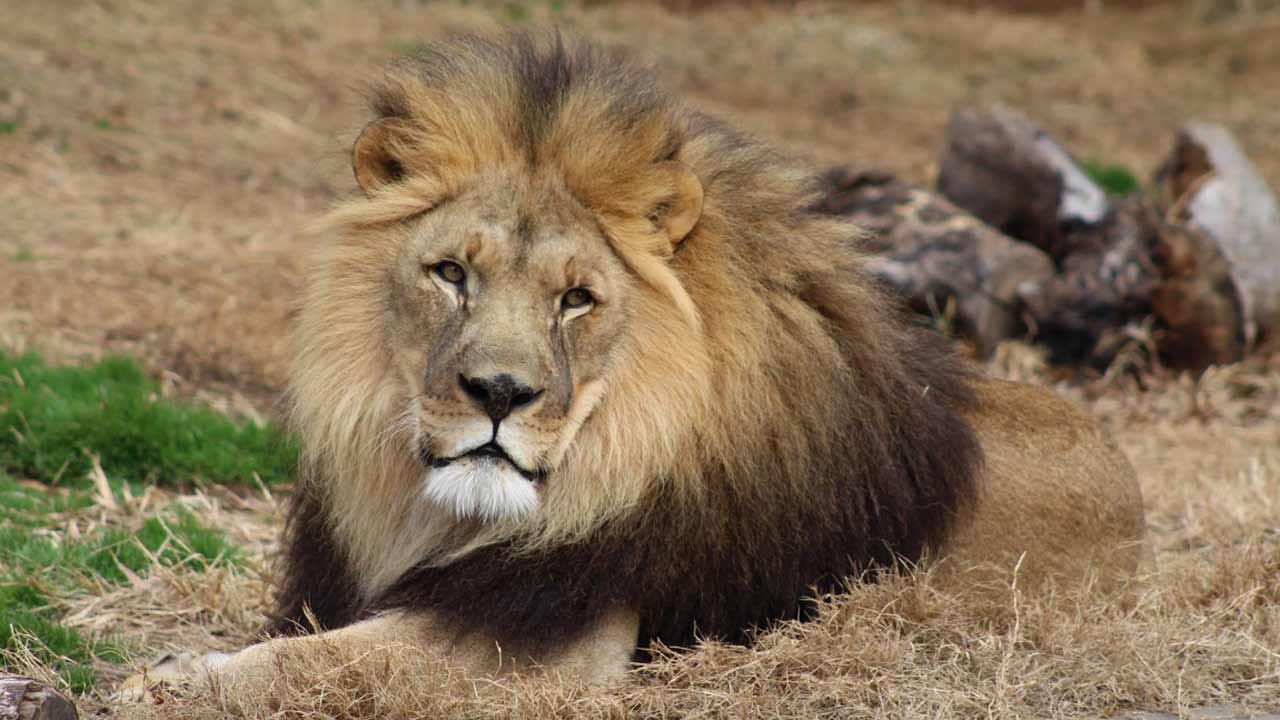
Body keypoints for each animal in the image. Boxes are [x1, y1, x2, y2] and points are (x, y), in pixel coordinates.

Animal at [136, 33, 1145, 697]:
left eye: (576, 299)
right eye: (452, 274)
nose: (499, 394)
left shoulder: (549, 644)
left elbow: (319, 665)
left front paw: (168, 680)